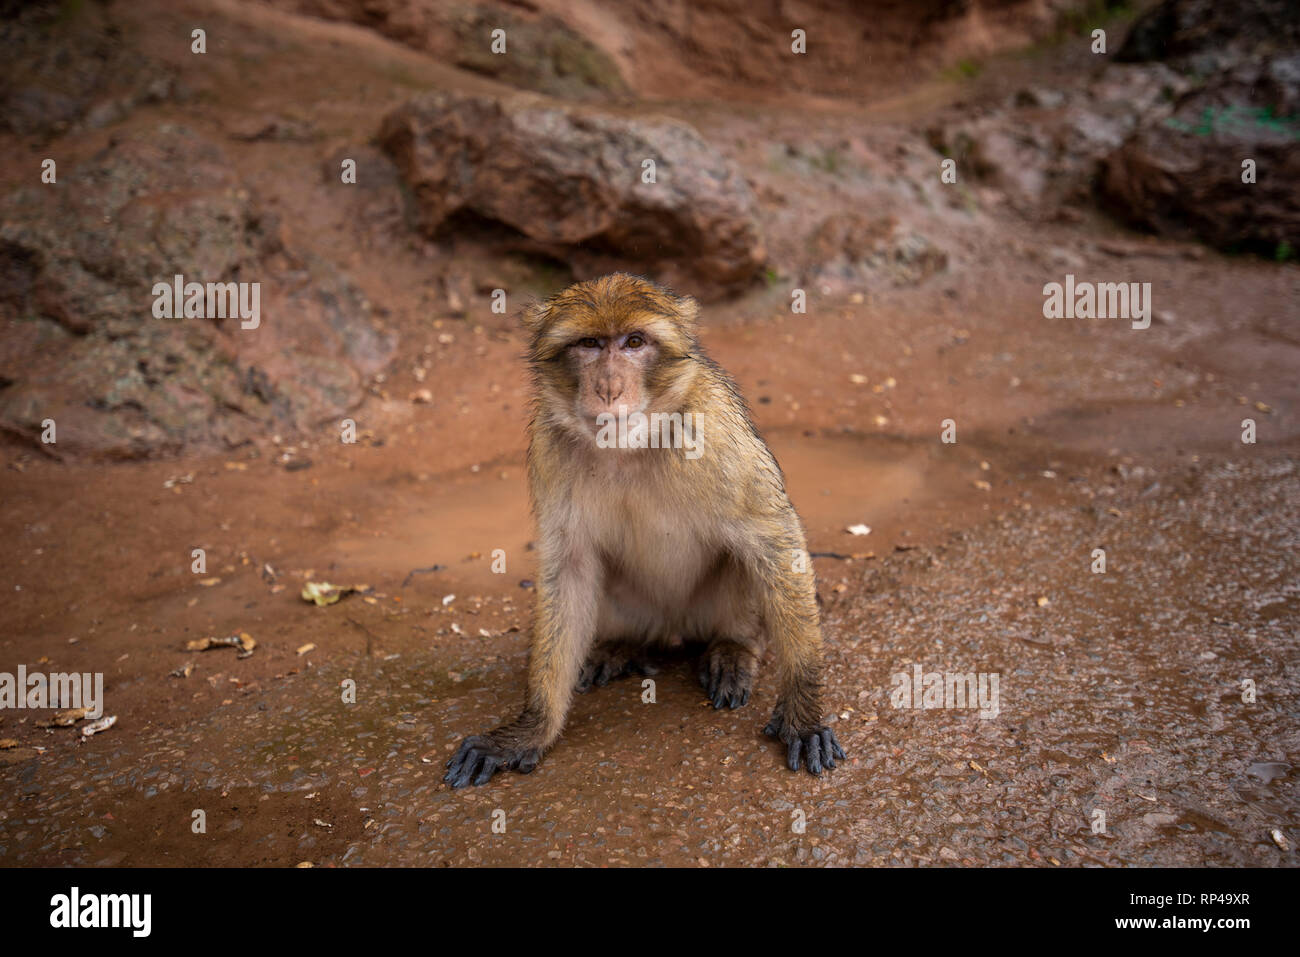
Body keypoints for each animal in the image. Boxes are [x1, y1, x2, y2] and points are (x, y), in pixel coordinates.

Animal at [445, 273, 845, 788]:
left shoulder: (715, 430)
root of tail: (672, 629)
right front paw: (530, 729)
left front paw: (803, 712)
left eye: (634, 342)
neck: (628, 445)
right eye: (590, 344)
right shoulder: (548, 447)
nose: (609, 387)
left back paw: (734, 648)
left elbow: (773, 539)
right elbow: (571, 567)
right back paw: (620, 647)